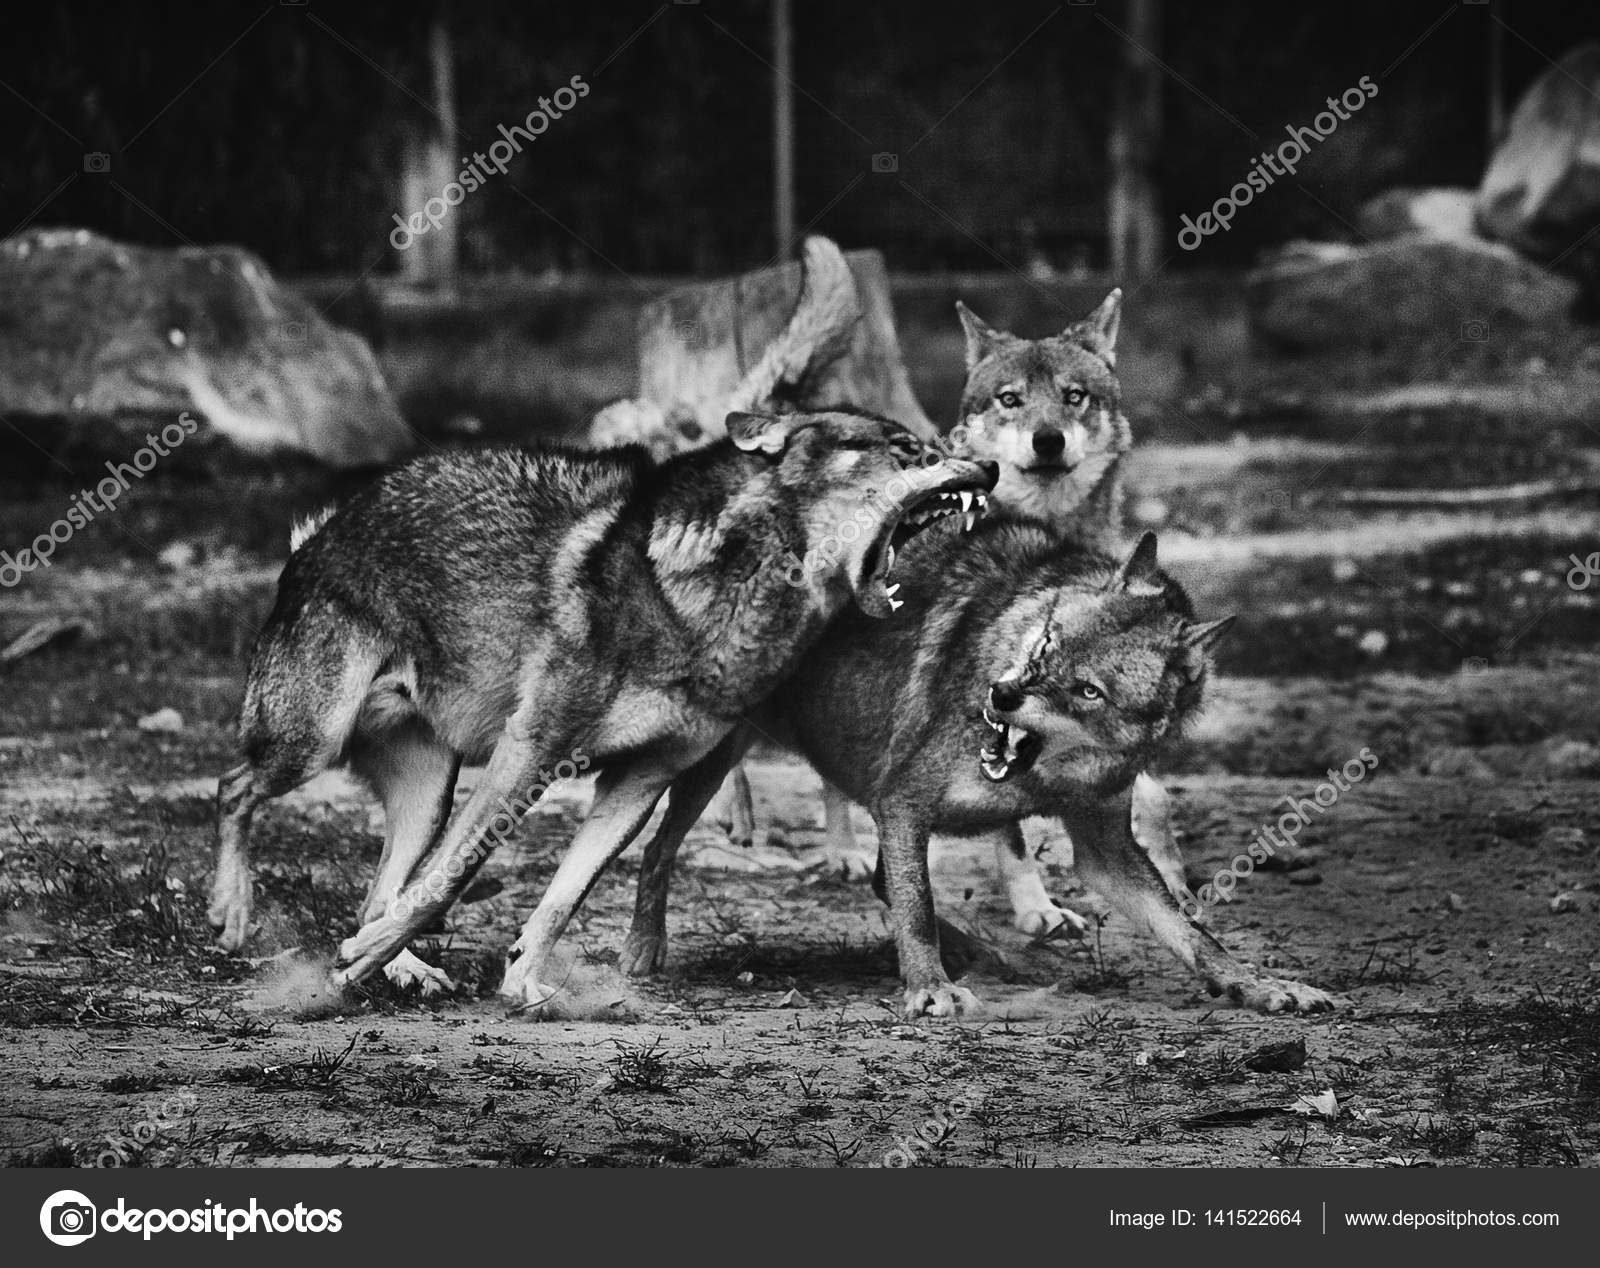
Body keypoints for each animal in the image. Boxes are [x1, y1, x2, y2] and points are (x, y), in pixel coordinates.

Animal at [207, 408, 997, 1003]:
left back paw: (397, 966)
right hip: (312, 744)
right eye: (908, 450)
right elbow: (449, 883)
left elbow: (563, 896)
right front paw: (363, 957)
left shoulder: (640, 780)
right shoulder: (530, 750)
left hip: (430, 791)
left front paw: (520, 982)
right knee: (234, 786)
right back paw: (236, 914)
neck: (718, 593)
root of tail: (319, 534)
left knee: (380, 890)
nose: (988, 469)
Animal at [623, 523, 1334, 1018]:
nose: (1002, 694)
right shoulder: (902, 804)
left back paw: (993, 955)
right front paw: (930, 993)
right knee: (657, 849)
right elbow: (915, 907)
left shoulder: (1103, 849)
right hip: (706, 760)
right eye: (1046, 644)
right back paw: (643, 949)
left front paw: (1265, 986)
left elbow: (1192, 933)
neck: (1039, 777)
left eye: (1088, 691)